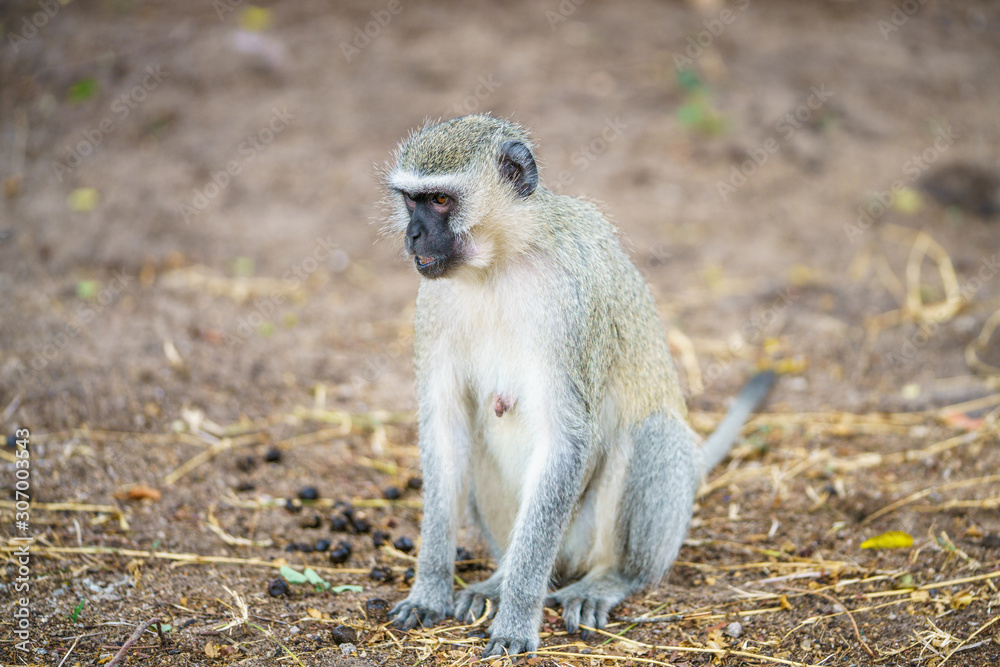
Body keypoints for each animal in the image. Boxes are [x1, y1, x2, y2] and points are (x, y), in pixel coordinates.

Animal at [381, 114, 775, 658]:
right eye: (410, 200)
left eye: (440, 200)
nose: (413, 234)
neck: (499, 262)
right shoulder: (432, 302)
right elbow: (444, 426)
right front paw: (429, 589)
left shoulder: (572, 297)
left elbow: (565, 438)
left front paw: (516, 617)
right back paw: (497, 580)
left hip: (583, 533)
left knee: (653, 436)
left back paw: (606, 579)